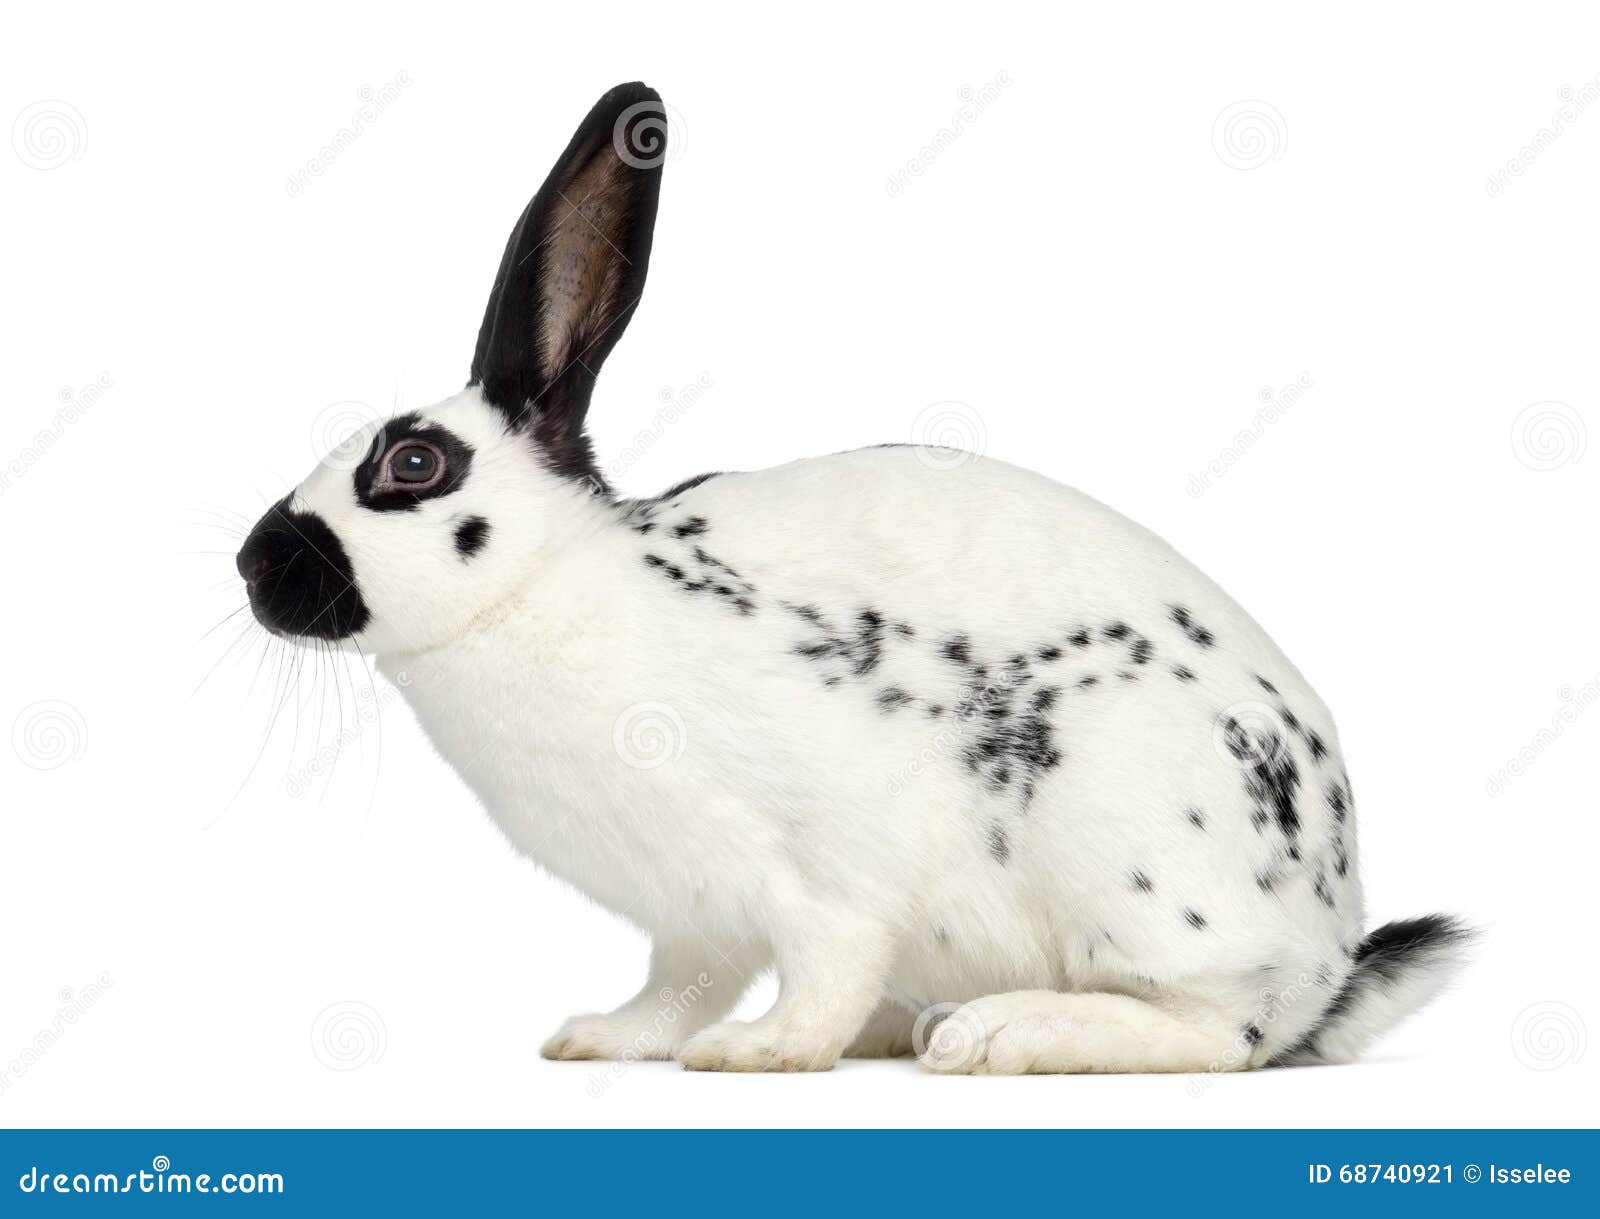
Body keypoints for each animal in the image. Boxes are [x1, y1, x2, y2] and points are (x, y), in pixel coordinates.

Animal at [235, 81, 1472, 1073]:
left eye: (411, 465)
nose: (254, 569)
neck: (542, 584)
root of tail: (1328, 944)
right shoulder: (695, 916)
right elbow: (674, 987)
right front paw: (601, 1039)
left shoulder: (816, 870)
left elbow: (823, 965)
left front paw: (759, 1052)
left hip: (1133, 859)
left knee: (1222, 1030)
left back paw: (991, 1034)